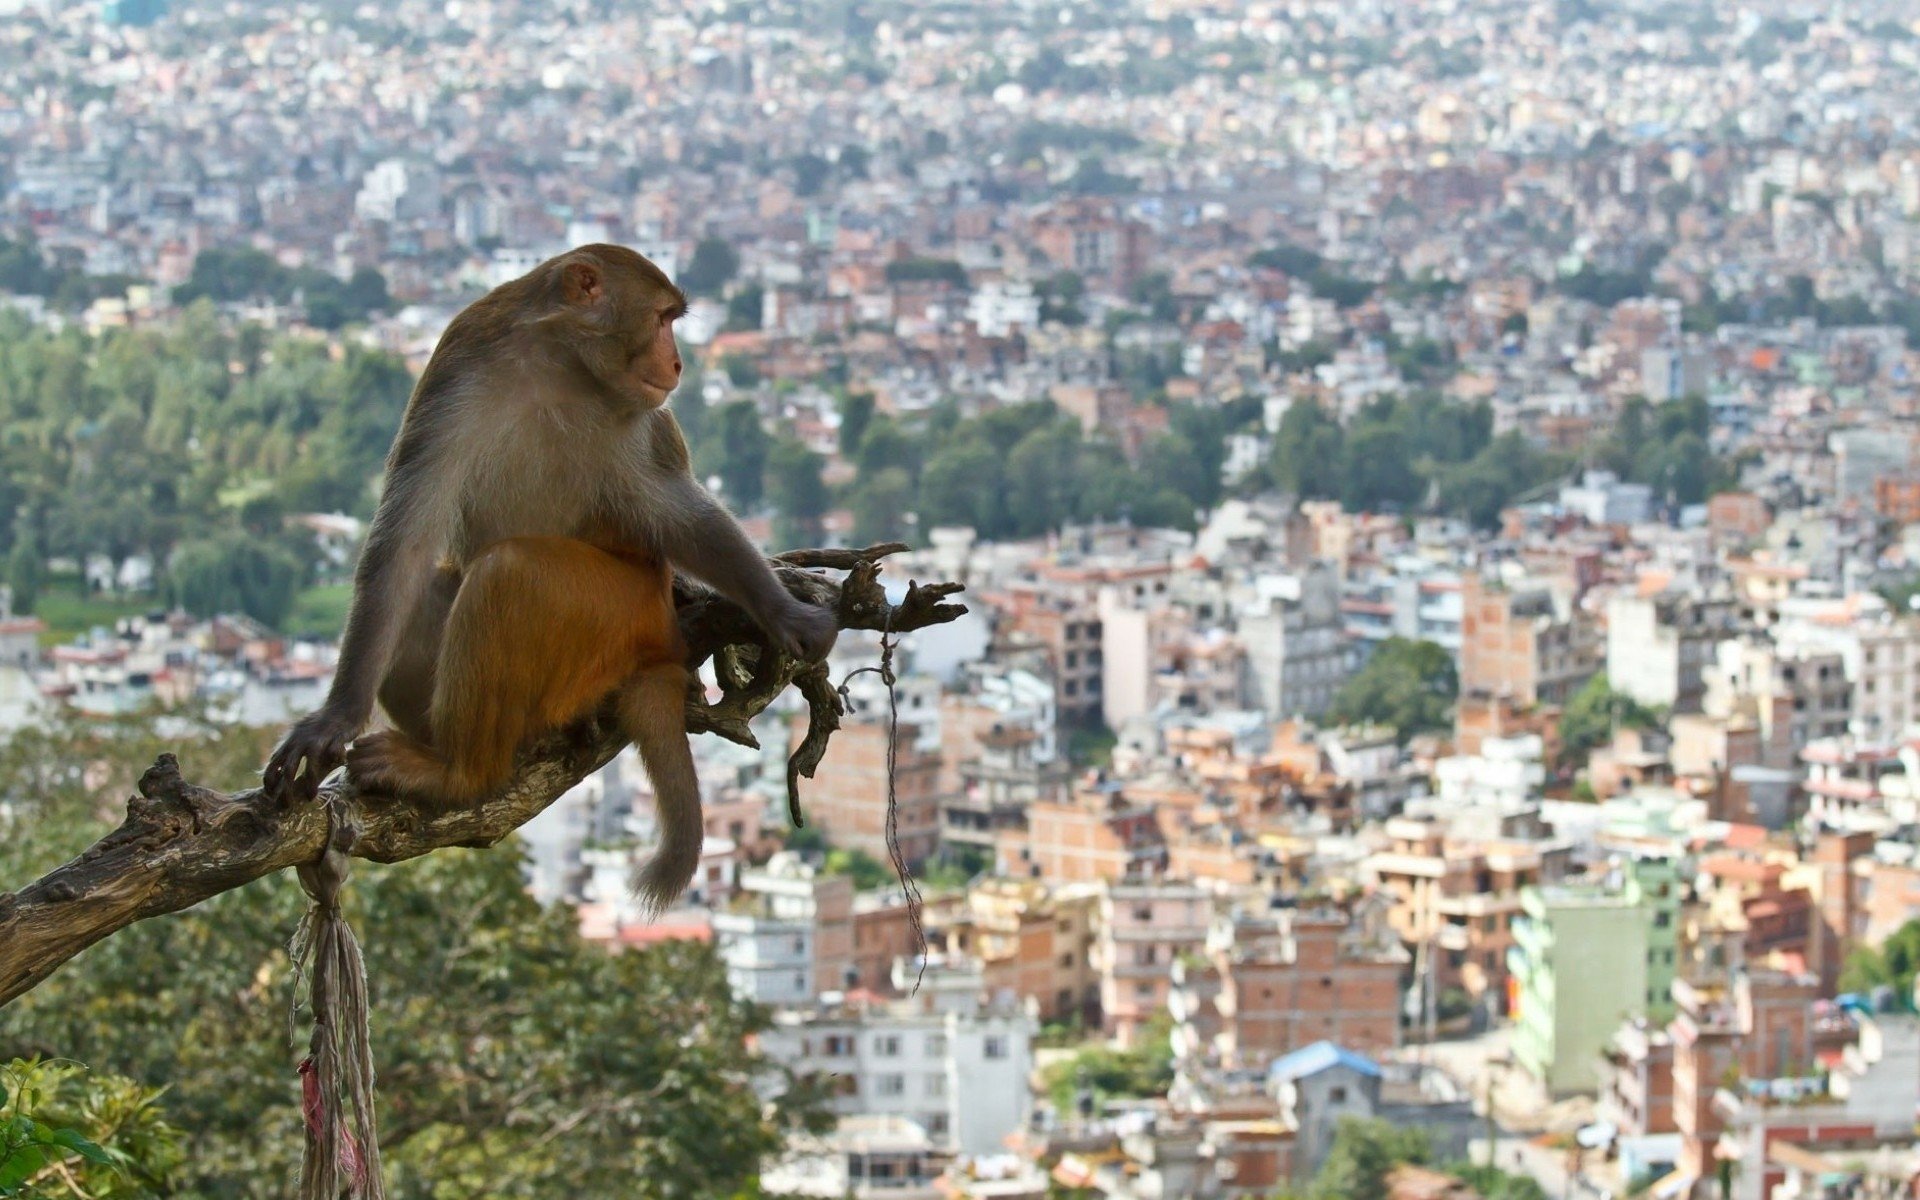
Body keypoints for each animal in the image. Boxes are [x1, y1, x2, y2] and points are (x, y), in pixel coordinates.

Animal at [263, 244, 837, 913]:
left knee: (510, 574)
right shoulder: (459, 370)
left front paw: (782, 611)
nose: (677, 361)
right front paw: (334, 719)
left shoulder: (636, 417)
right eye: (663, 318)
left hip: (615, 615)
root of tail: (659, 643)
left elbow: (680, 515)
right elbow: (405, 547)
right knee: (433, 586)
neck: (558, 364)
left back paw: (461, 775)